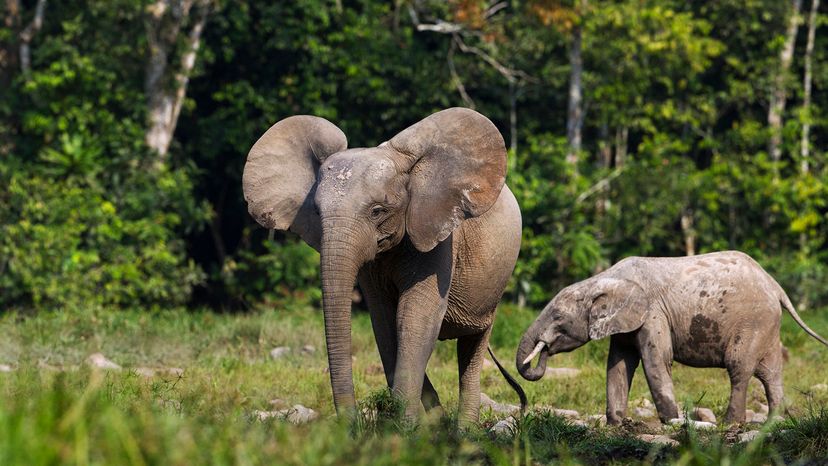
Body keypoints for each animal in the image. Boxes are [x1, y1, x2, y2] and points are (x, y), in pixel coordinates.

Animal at [241, 107, 524, 420]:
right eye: (316, 211)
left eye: (377, 211)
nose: (350, 423)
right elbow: (385, 323)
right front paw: (422, 424)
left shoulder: (438, 237)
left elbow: (414, 319)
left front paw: (409, 425)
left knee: (473, 345)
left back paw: (465, 428)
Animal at [516, 251, 828, 426]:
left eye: (558, 316)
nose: (543, 351)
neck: (601, 280)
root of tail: (776, 286)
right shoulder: (627, 321)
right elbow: (618, 365)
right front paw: (617, 424)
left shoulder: (653, 313)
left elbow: (656, 361)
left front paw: (672, 422)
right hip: (766, 324)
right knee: (770, 372)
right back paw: (774, 422)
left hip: (753, 321)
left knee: (739, 367)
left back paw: (730, 425)